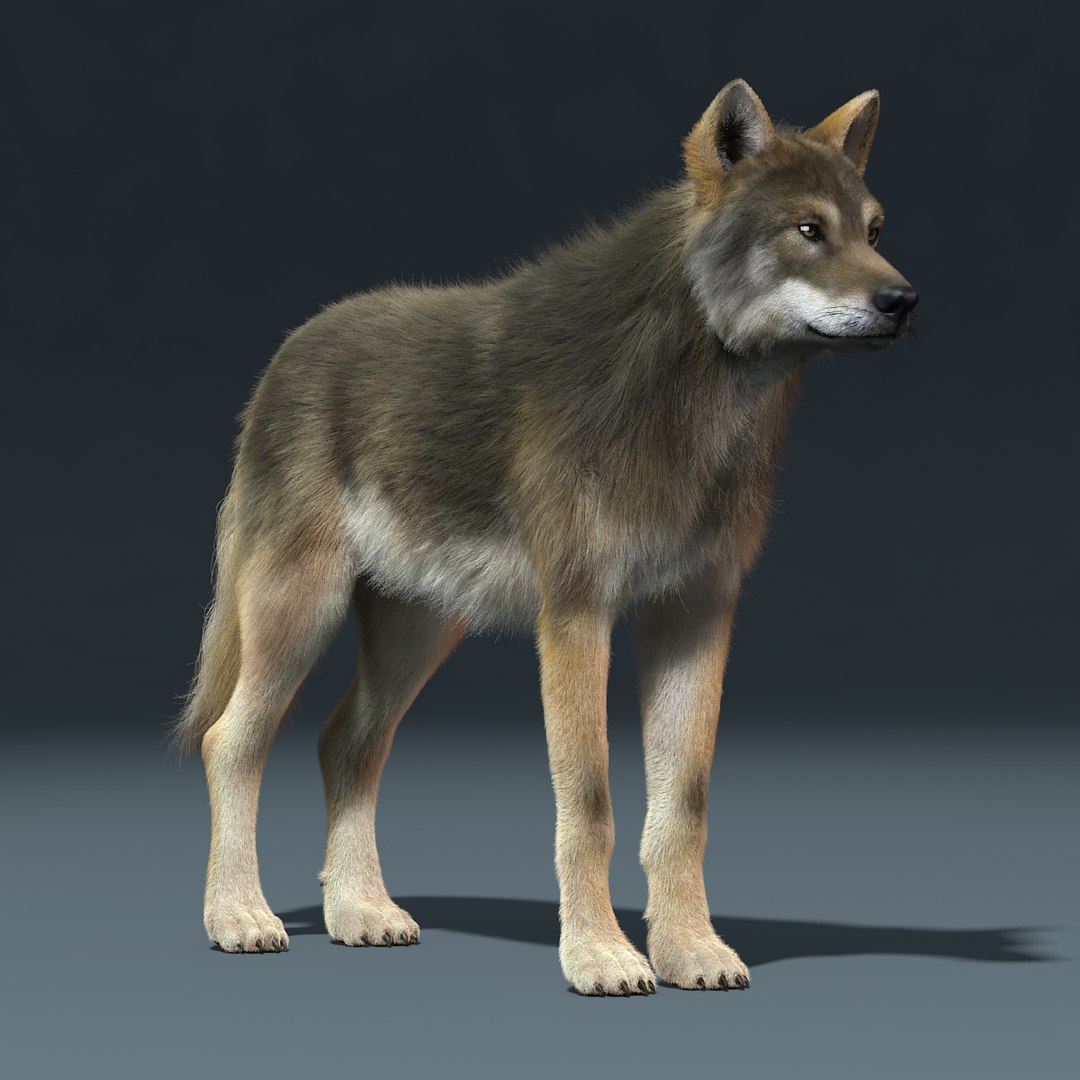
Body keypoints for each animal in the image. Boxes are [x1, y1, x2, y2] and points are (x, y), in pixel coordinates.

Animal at [174, 79, 916, 996]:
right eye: (809, 230)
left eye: (874, 231)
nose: (903, 301)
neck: (688, 401)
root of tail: (285, 354)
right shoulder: (575, 618)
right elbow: (591, 805)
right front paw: (601, 956)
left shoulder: (696, 619)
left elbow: (684, 807)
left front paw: (690, 951)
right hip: (298, 614)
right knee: (230, 742)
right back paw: (239, 917)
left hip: (422, 632)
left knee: (345, 743)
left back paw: (359, 913)